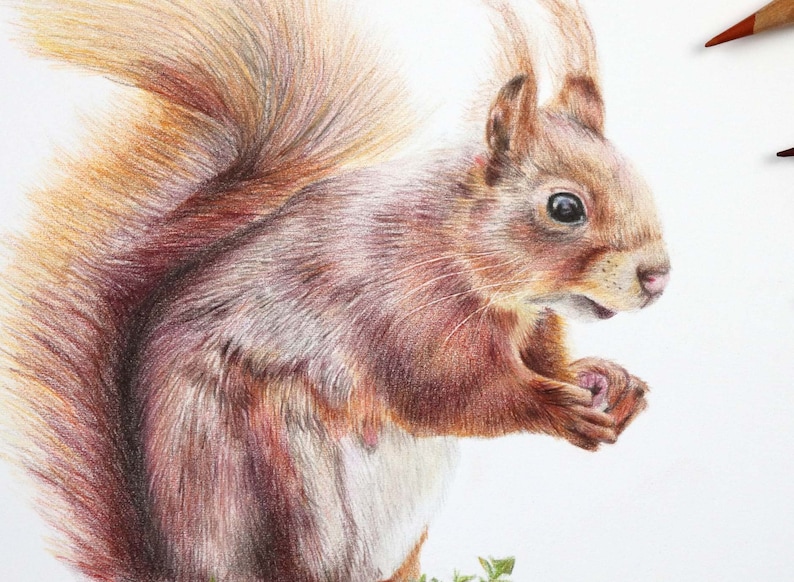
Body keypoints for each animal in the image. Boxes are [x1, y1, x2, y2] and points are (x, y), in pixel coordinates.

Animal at [0, 0, 670, 580]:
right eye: (564, 207)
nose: (658, 276)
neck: (457, 253)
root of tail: (173, 566)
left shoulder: (531, 326)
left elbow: (545, 360)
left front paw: (606, 381)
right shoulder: (404, 317)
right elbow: (450, 395)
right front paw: (558, 408)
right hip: (271, 486)